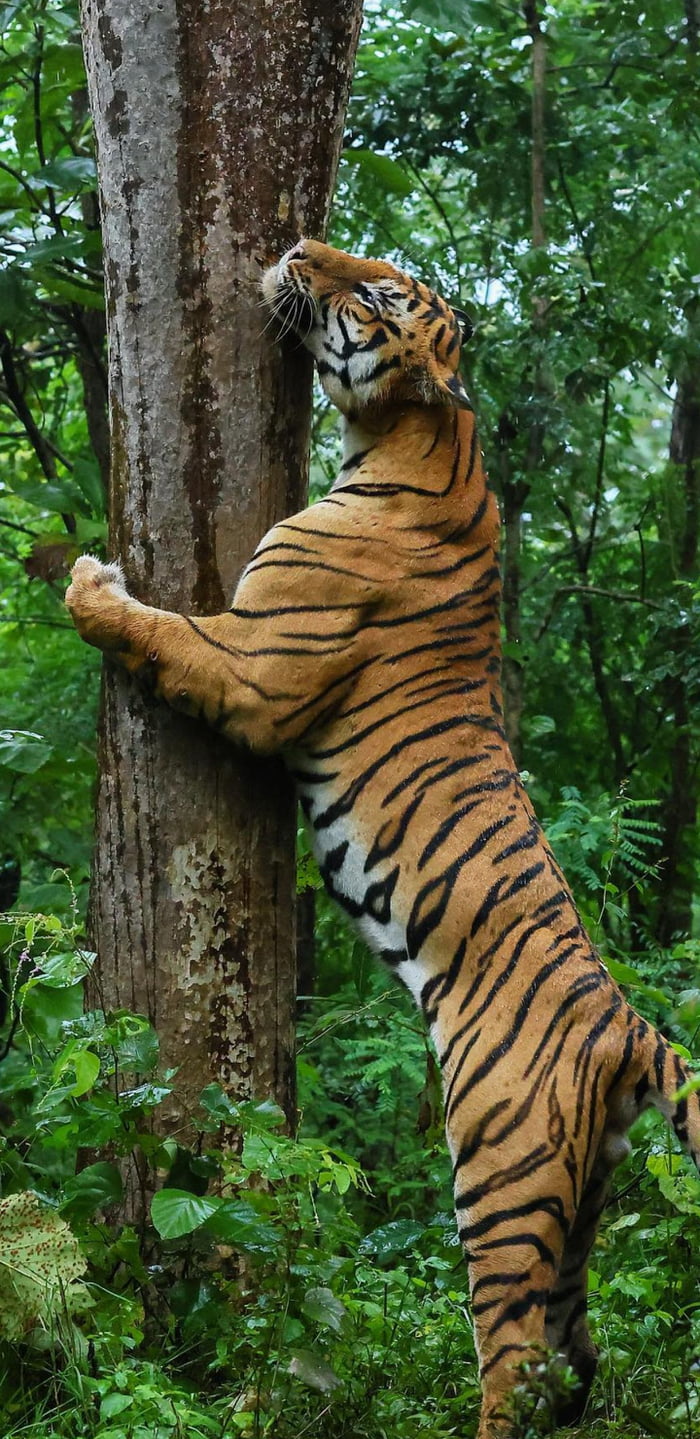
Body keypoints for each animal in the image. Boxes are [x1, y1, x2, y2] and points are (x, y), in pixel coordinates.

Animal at [66, 238, 700, 1437]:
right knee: (577, 1361)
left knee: (513, 1362)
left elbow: (158, 632)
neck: (421, 434)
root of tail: (624, 1026)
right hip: (580, 1208)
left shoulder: (255, 666)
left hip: (500, 1180)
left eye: (375, 293)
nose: (297, 247)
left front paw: (87, 580)